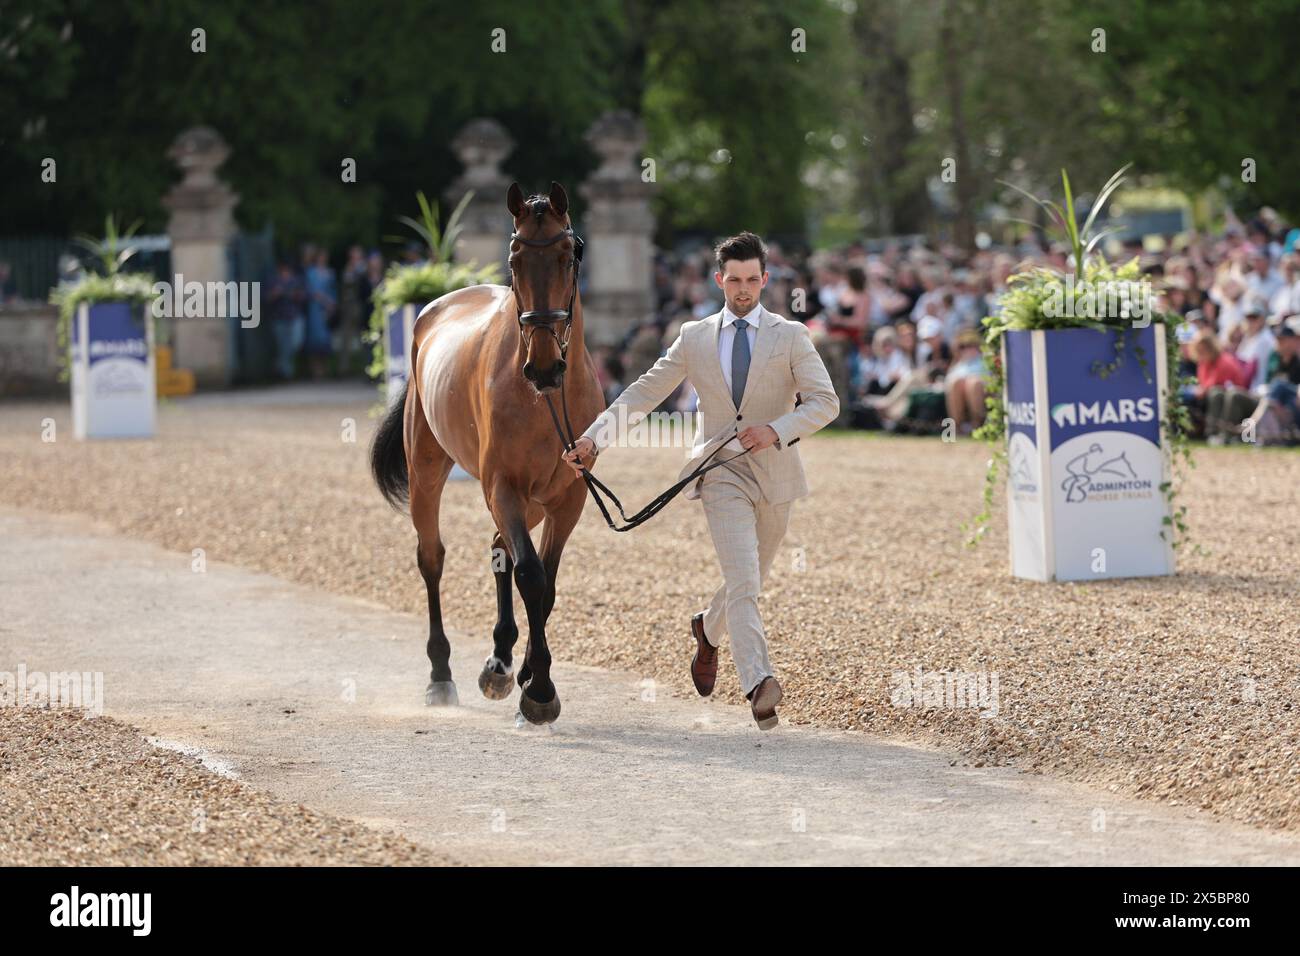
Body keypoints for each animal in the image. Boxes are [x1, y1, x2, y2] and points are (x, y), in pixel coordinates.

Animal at [370, 181, 606, 725]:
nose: (544, 366)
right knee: (433, 557)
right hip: (429, 473)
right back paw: (442, 676)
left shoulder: (567, 497)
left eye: (568, 257)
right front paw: (539, 692)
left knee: (500, 547)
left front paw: (527, 675)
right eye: (515, 260)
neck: (545, 400)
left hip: (531, 500)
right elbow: (531, 577)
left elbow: (546, 584)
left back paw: (501, 661)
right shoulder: (504, 486)